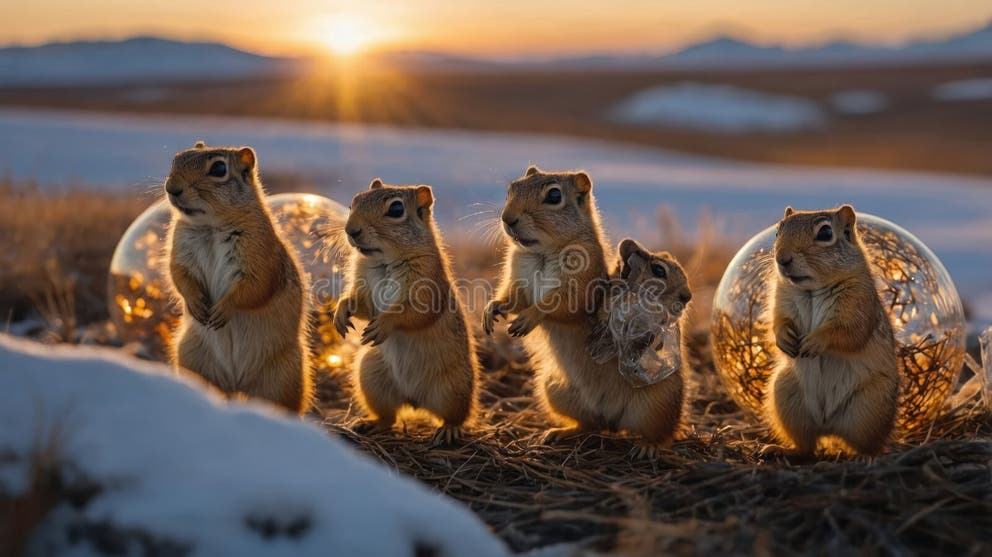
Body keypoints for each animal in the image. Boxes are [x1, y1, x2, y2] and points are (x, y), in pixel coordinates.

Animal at [165, 141, 312, 415]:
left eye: (218, 169)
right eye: (176, 159)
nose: (171, 188)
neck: (211, 226)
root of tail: (235, 384)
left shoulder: (260, 256)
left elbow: (254, 288)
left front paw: (223, 309)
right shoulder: (181, 252)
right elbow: (179, 276)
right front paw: (196, 303)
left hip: (282, 379)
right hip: (192, 360)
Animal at [333, 178, 478, 443]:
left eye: (396, 209)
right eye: (353, 202)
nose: (351, 230)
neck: (384, 261)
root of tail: (414, 400)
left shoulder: (427, 287)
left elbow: (413, 314)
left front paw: (384, 324)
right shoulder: (365, 288)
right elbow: (361, 305)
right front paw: (340, 312)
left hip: (453, 388)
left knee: (456, 415)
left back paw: (449, 430)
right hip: (371, 377)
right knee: (389, 416)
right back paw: (372, 423)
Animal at [483, 167, 685, 456]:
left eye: (554, 195)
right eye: (512, 188)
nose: (507, 219)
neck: (542, 253)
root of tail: (613, 419)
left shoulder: (582, 285)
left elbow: (559, 304)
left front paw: (531, 317)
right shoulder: (519, 280)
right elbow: (513, 298)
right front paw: (492, 308)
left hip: (658, 404)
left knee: (664, 432)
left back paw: (649, 446)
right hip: (556, 390)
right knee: (590, 424)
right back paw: (561, 432)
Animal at [766, 205, 900, 456]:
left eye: (826, 233)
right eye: (778, 231)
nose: (782, 259)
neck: (811, 289)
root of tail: (827, 425)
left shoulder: (859, 305)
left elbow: (847, 333)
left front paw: (815, 341)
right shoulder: (782, 300)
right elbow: (778, 321)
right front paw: (784, 338)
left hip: (870, 407)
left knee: (869, 444)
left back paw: (864, 457)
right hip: (787, 397)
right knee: (807, 447)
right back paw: (784, 450)